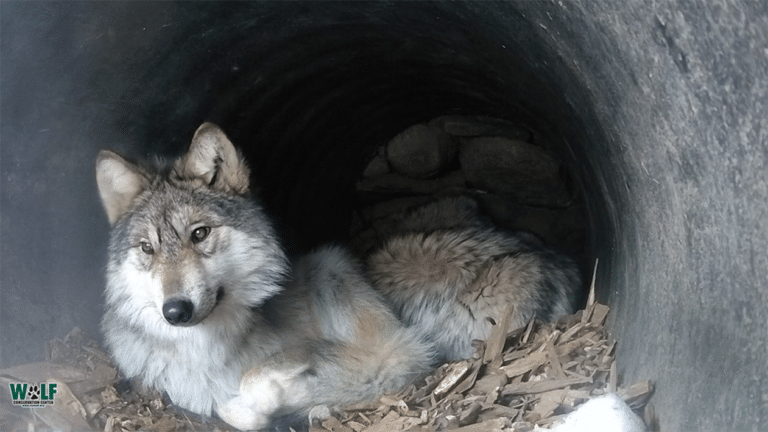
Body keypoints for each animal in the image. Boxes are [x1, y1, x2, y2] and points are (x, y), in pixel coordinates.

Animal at [95, 123, 434, 431]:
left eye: (200, 234)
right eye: (147, 248)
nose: (175, 311)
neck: (207, 350)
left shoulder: (381, 347)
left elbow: (253, 382)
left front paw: (287, 397)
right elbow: (231, 410)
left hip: (329, 263)